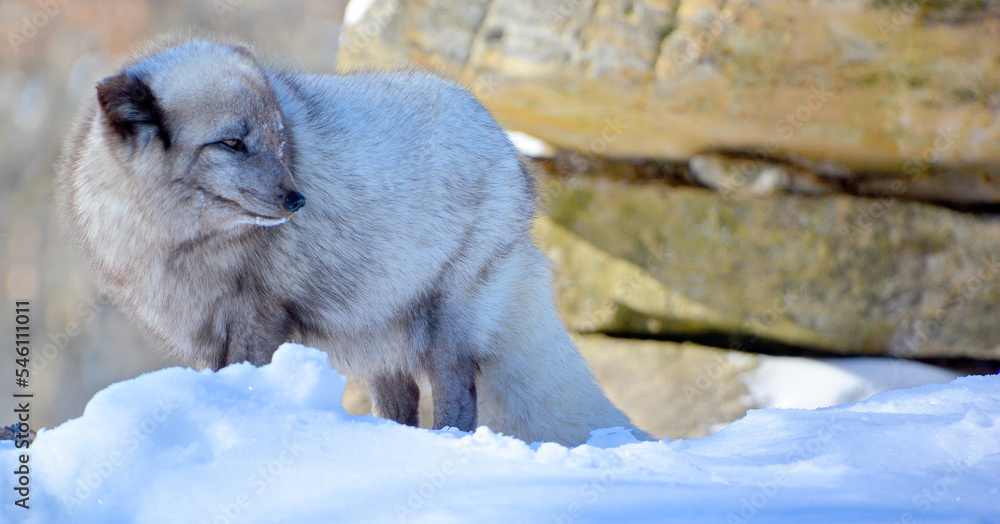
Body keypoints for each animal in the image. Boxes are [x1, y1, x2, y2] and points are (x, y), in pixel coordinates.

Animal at [56, 34, 645, 446]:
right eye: (232, 143)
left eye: (281, 140)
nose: (297, 201)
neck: (184, 240)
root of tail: (505, 143)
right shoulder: (201, 332)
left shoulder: (260, 314)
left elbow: (248, 375)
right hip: (374, 330)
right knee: (403, 399)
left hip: (446, 322)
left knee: (457, 393)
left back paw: (445, 444)